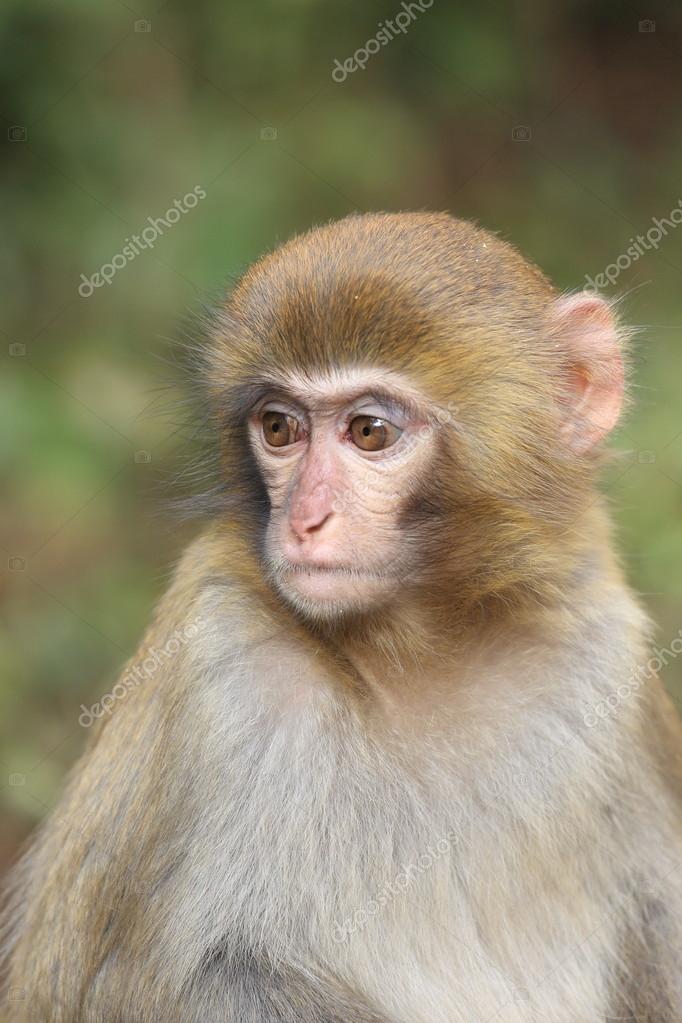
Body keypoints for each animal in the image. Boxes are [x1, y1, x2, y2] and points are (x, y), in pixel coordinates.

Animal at [1, 211, 681, 1023]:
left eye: (369, 432)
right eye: (279, 428)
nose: (305, 520)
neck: (426, 654)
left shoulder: (604, 647)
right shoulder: (223, 654)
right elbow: (179, 979)